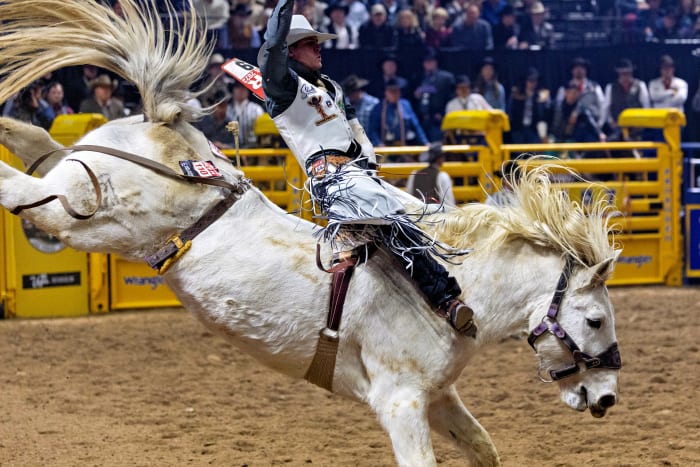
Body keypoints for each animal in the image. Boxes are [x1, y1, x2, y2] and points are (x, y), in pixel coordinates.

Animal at [0, 1, 622, 466]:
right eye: (594, 320)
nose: (608, 398)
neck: (457, 288)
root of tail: (165, 127)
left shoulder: (439, 396)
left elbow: (483, 447)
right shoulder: (400, 402)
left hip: (79, 178)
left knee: (39, 147)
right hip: (84, 212)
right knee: (23, 193)